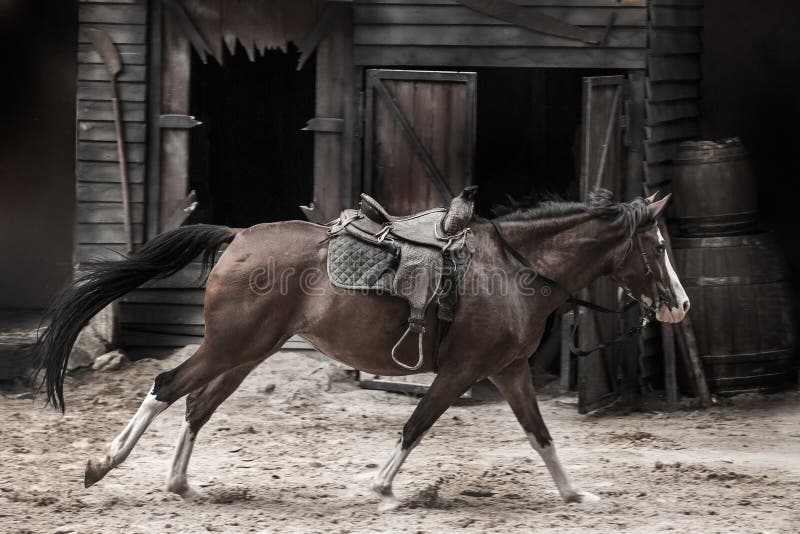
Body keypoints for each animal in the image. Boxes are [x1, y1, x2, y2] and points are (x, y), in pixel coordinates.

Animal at [33, 190, 689, 511]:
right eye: (658, 247)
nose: (680, 305)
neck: (515, 270)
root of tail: (238, 237)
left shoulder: (508, 372)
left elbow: (541, 436)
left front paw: (576, 495)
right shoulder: (463, 372)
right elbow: (415, 425)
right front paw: (380, 490)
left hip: (247, 354)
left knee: (197, 407)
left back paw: (181, 486)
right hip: (228, 347)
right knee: (167, 388)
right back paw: (104, 464)